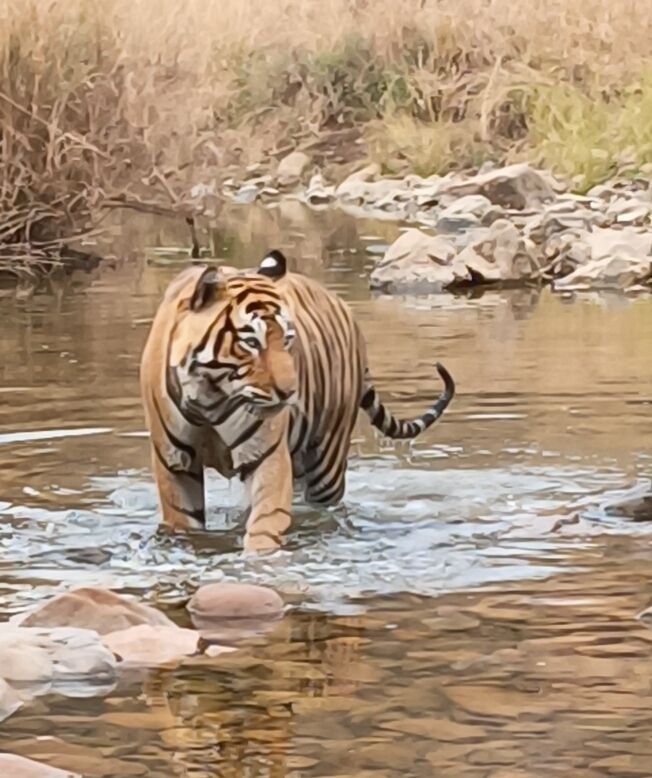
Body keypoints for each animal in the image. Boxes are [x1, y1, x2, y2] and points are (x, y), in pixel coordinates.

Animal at [140, 249, 455, 552]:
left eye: (288, 339)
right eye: (251, 343)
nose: (290, 392)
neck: (211, 399)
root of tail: (343, 306)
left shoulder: (266, 456)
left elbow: (265, 524)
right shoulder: (175, 465)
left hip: (327, 463)